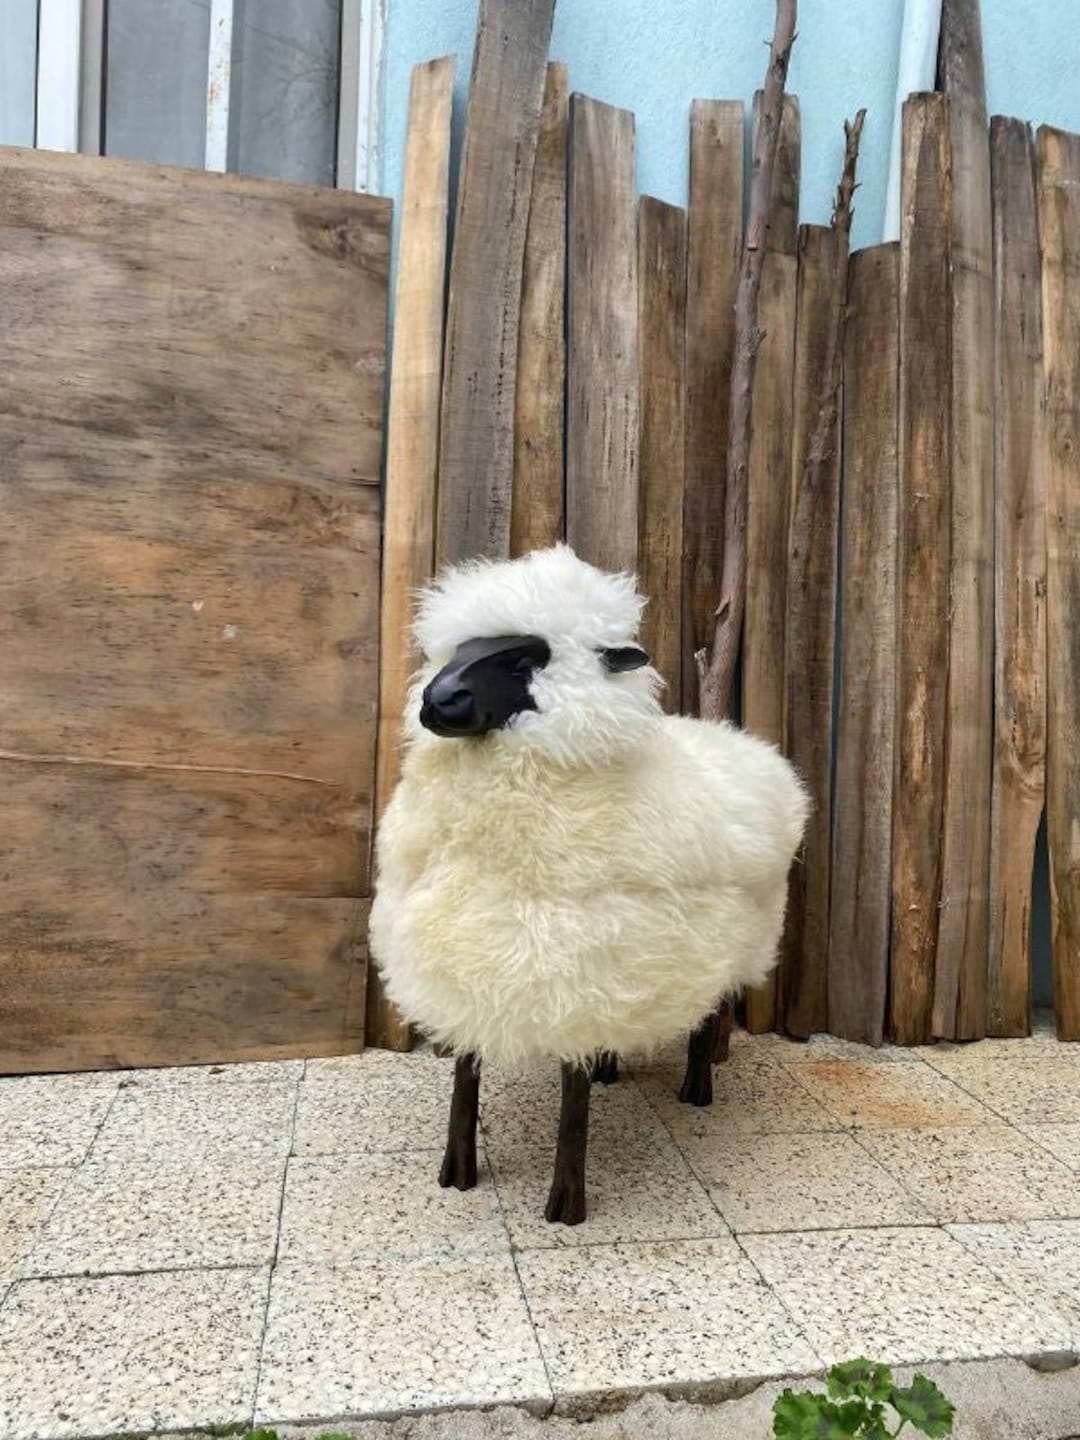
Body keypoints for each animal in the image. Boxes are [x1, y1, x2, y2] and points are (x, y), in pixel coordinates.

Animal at [370, 544, 809, 1224]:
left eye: (525, 658)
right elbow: (466, 1074)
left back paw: (697, 1087)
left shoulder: (571, 966)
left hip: (722, 940)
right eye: (461, 649)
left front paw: (566, 1202)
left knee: (708, 1015)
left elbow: (571, 1106)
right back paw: (610, 1064)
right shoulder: (467, 956)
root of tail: (743, 740)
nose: (437, 703)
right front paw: (458, 1170)